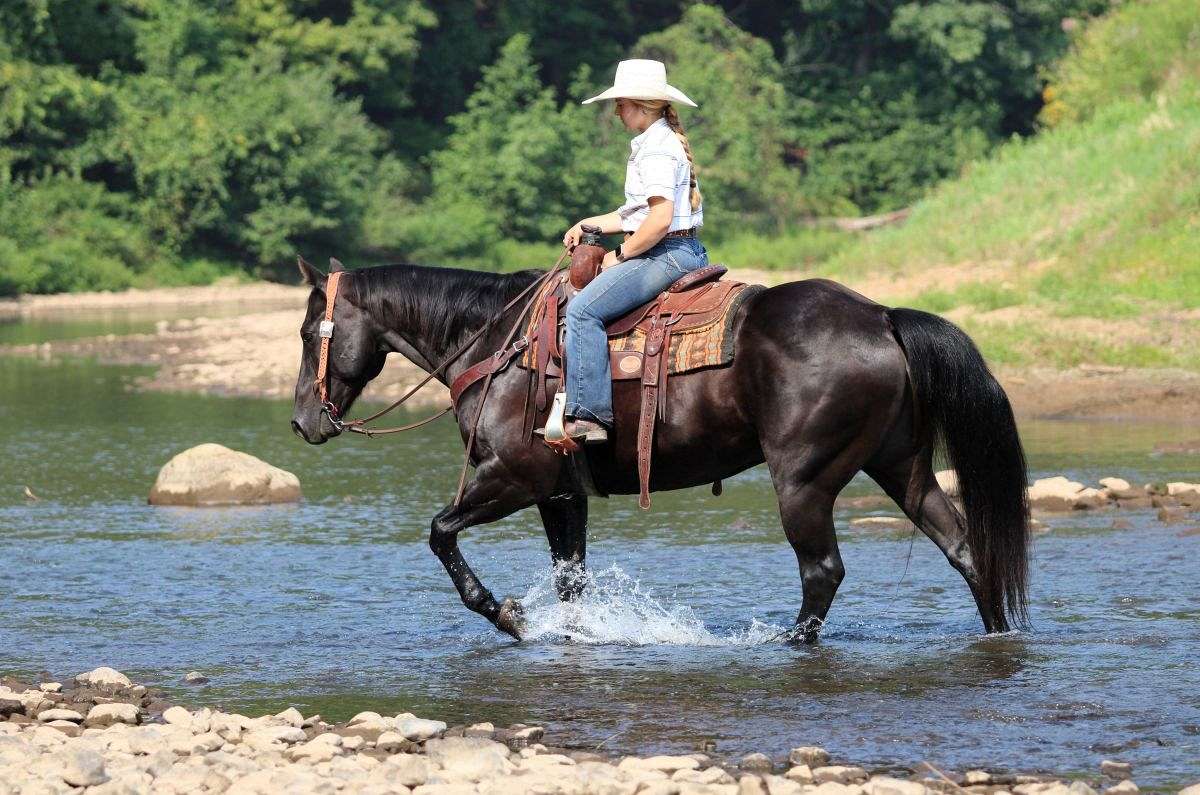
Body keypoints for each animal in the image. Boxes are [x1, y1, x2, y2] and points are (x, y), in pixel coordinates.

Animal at [290, 257, 1030, 643]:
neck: (497, 344)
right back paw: (997, 634)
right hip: (900, 466)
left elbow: (441, 533)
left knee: (822, 570)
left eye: (306, 330)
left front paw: (509, 615)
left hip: (804, 480)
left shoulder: (515, 477)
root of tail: (880, 316)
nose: (302, 422)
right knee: (965, 547)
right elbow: (571, 577)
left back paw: (791, 643)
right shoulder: (561, 493)